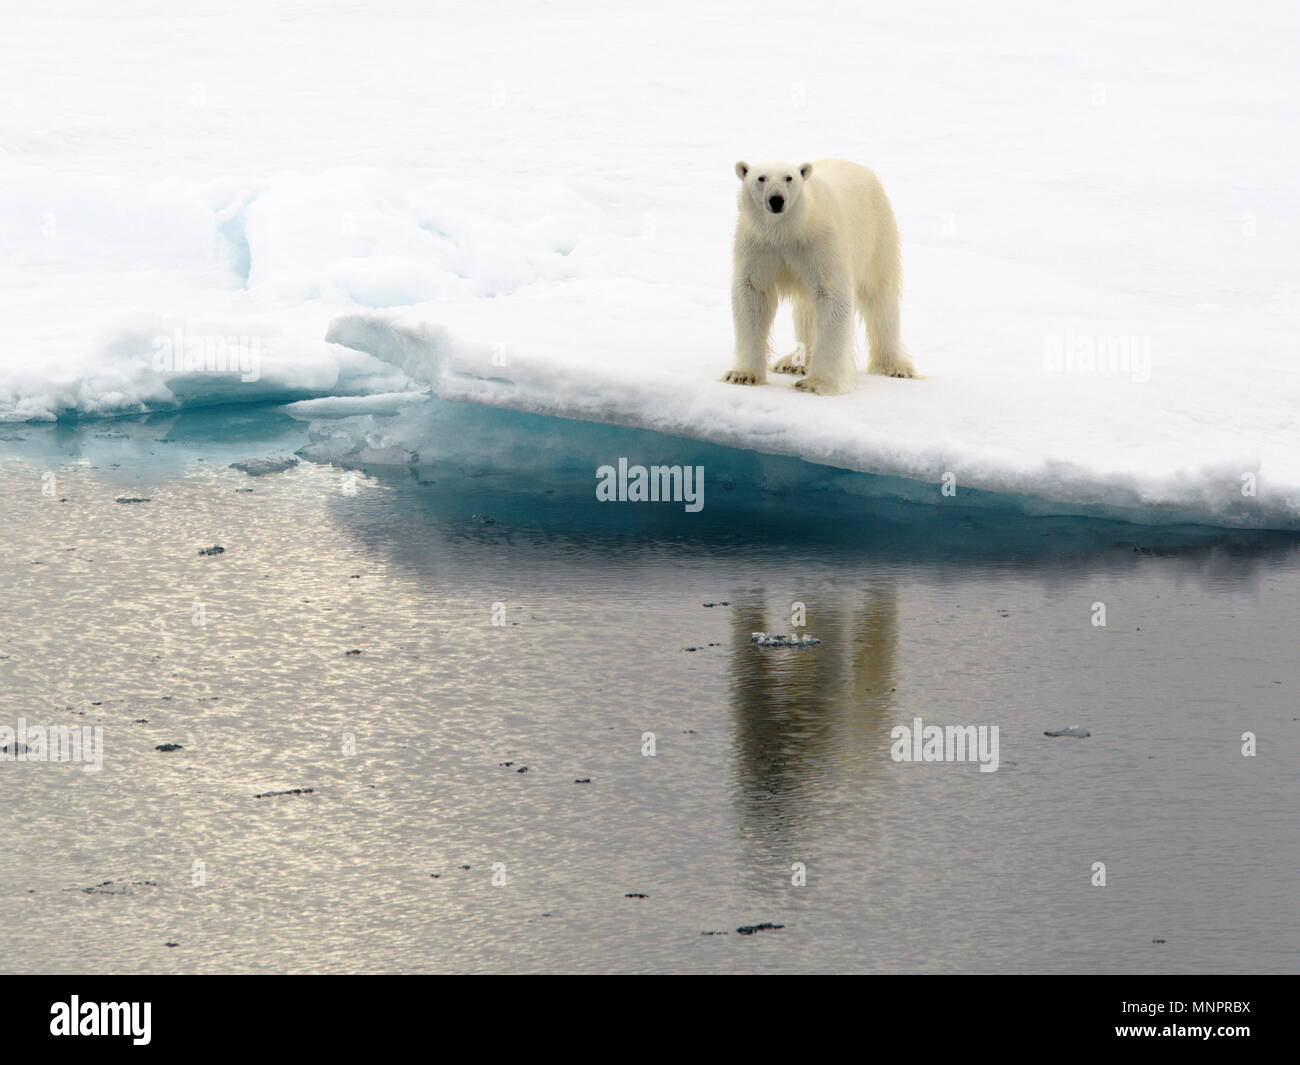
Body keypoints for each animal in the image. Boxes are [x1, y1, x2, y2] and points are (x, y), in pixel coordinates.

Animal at [723, 158, 915, 394]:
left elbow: (832, 295)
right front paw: (742, 375)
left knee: (880, 299)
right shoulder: (758, 246)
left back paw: (894, 367)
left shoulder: (820, 243)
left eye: (789, 178)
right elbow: (752, 294)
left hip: (877, 233)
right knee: (806, 308)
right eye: (761, 178)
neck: (788, 230)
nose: (776, 200)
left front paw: (817, 383)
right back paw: (794, 362)